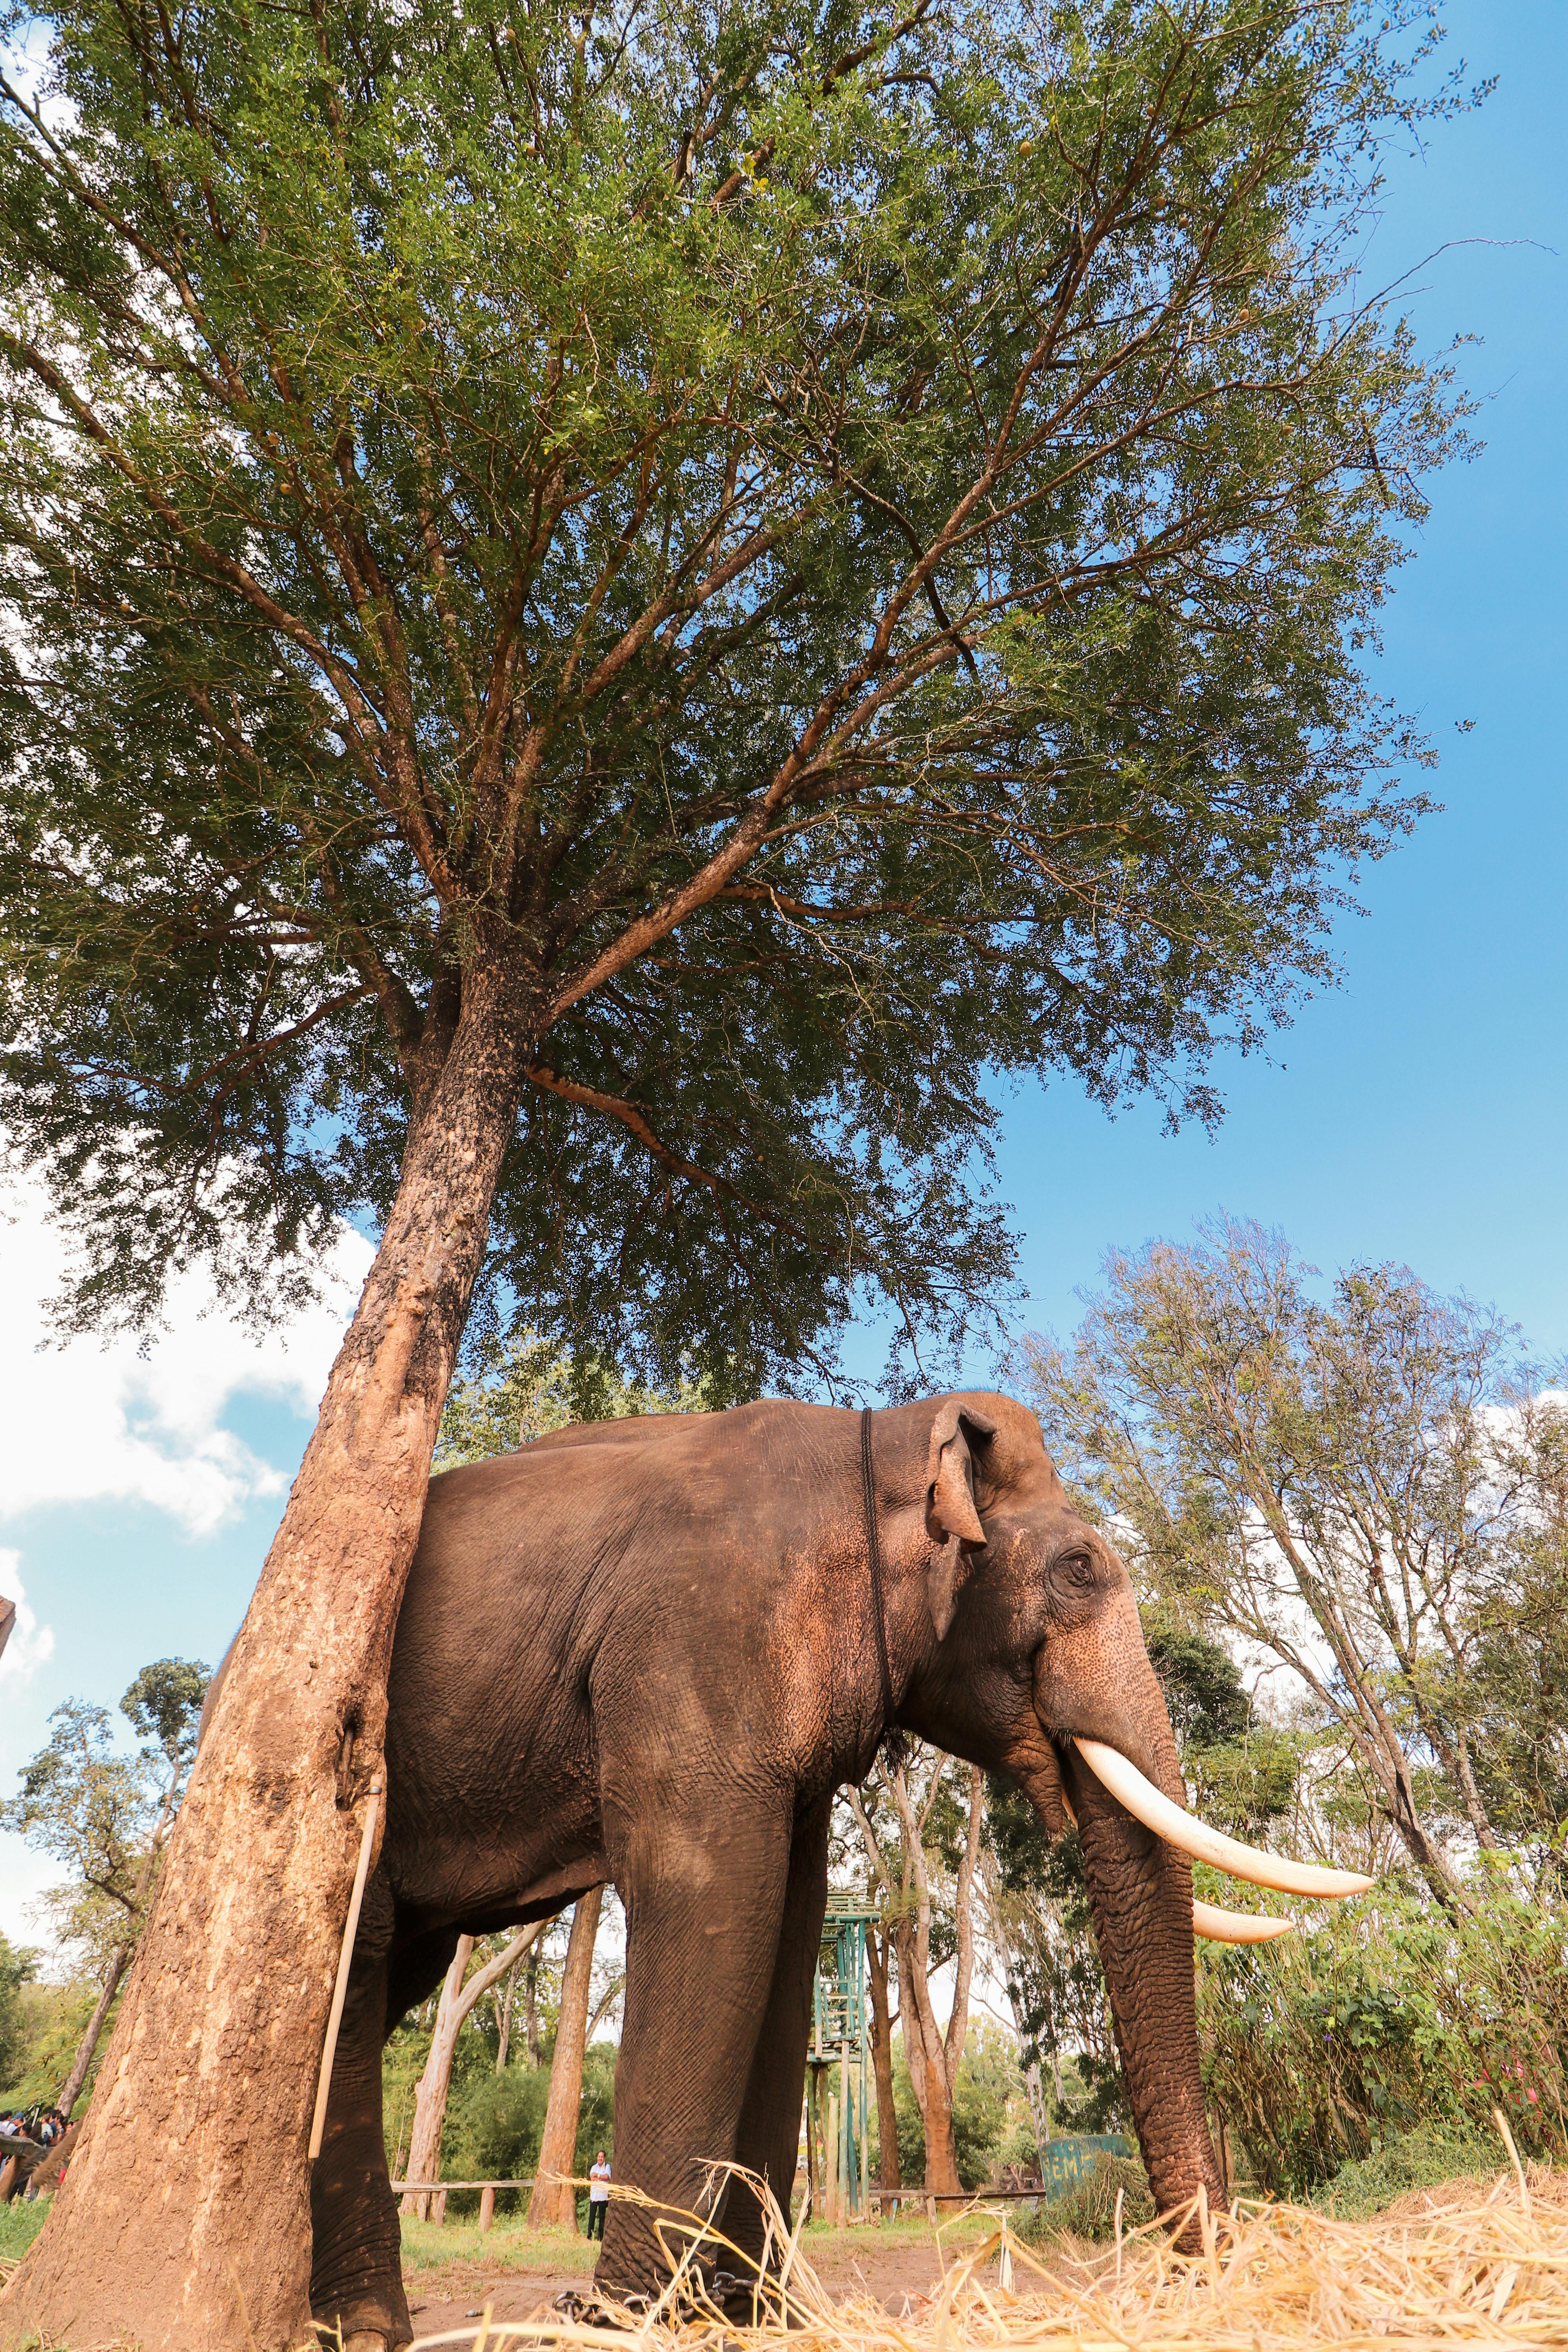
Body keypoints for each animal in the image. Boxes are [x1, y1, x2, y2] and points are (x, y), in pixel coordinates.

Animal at [308, 1390, 1368, 2349]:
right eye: (1077, 1570)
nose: (1202, 2277)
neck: (876, 1439)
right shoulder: (696, 1644)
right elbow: (712, 1903)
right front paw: (622, 2324)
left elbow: (784, 1927)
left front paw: (744, 2320)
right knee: (354, 1969)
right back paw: (367, 2328)